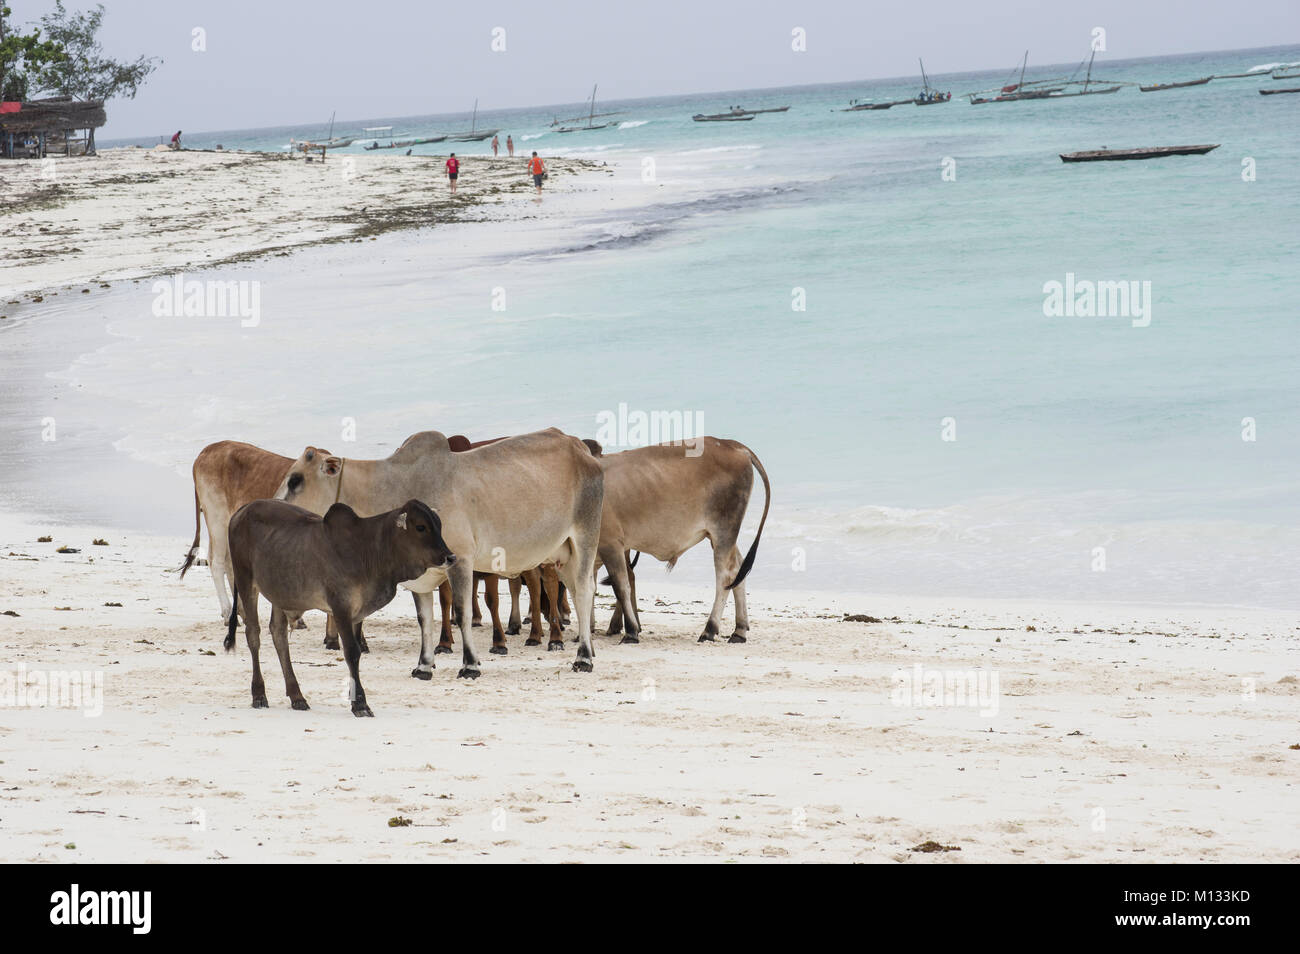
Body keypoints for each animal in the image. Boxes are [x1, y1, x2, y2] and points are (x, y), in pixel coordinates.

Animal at [224, 498, 454, 716]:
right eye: (421, 527)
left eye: (439, 525)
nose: (450, 557)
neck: (369, 550)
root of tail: (242, 510)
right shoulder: (340, 608)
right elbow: (352, 652)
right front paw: (360, 704)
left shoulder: (356, 614)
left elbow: (356, 652)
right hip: (245, 579)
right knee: (253, 634)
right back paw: (259, 694)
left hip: (279, 593)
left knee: (278, 635)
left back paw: (297, 696)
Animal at [274, 428, 605, 678]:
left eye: (296, 480)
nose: (273, 505)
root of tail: (580, 448)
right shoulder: (420, 578)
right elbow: (425, 618)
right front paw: (424, 665)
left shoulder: (461, 561)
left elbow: (461, 611)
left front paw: (470, 664)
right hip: (562, 555)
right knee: (578, 594)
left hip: (585, 537)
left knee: (584, 592)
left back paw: (583, 658)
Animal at [591, 438, 771, 644]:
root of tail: (729, 444)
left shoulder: (610, 544)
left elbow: (620, 586)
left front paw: (630, 632)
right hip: (720, 536)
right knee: (739, 569)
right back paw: (739, 631)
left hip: (724, 530)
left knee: (727, 575)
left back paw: (710, 630)